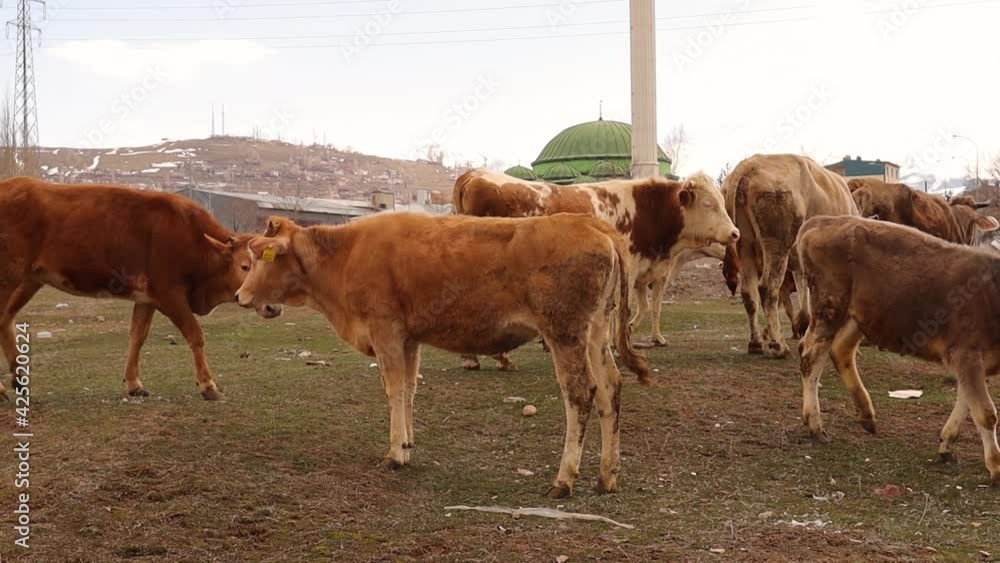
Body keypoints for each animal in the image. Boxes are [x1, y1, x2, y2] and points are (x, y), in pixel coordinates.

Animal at [0, 176, 278, 401]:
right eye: (245, 266)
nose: (273, 306)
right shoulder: (169, 294)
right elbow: (195, 334)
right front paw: (208, 386)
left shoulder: (147, 299)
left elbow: (137, 336)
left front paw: (134, 384)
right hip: (10, 277)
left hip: (29, 280)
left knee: (6, 320)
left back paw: (19, 379)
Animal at [235, 213, 651, 498]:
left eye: (258, 258)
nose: (240, 296)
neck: (345, 255)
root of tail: (588, 221)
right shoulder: (409, 337)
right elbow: (409, 388)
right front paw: (407, 444)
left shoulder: (385, 330)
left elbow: (394, 389)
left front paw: (394, 454)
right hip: (595, 333)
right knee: (610, 390)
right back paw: (606, 476)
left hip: (565, 333)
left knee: (580, 394)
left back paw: (564, 479)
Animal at [453, 168, 739, 364]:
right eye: (708, 204)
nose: (735, 233)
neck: (644, 210)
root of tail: (474, 174)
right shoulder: (630, 267)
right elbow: (626, 308)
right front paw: (622, 345)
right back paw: (496, 358)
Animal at [724, 154, 858, 357]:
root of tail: (751, 164)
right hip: (777, 243)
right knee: (768, 288)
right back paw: (779, 346)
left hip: (744, 244)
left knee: (749, 293)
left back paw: (756, 343)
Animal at [797, 215, 1000, 485]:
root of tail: (822, 220)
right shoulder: (966, 352)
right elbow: (985, 413)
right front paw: (996, 467)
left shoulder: (976, 360)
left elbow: (966, 403)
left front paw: (947, 443)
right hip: (828, 309)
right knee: (810, 357)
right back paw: (815, 425)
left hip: (861, 316)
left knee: (841, 350)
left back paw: (866, 415)